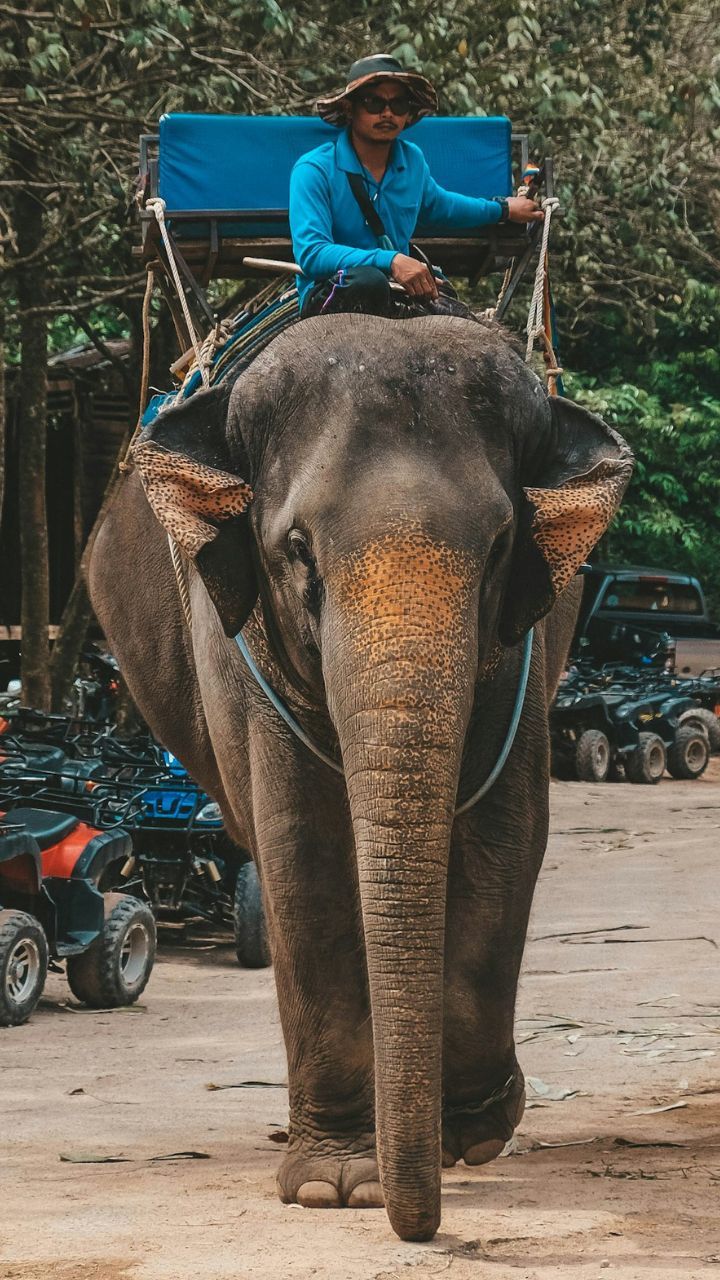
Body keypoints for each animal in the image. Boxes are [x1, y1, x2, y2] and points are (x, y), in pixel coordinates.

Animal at [89, 314, 632, 1243]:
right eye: (297, 551)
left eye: (499, 547)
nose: (423, 1227)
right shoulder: (242, 650)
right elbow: (302, 849)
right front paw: (335, 1186)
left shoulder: (522, 653)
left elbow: (508, 834)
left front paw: (472, 1131)